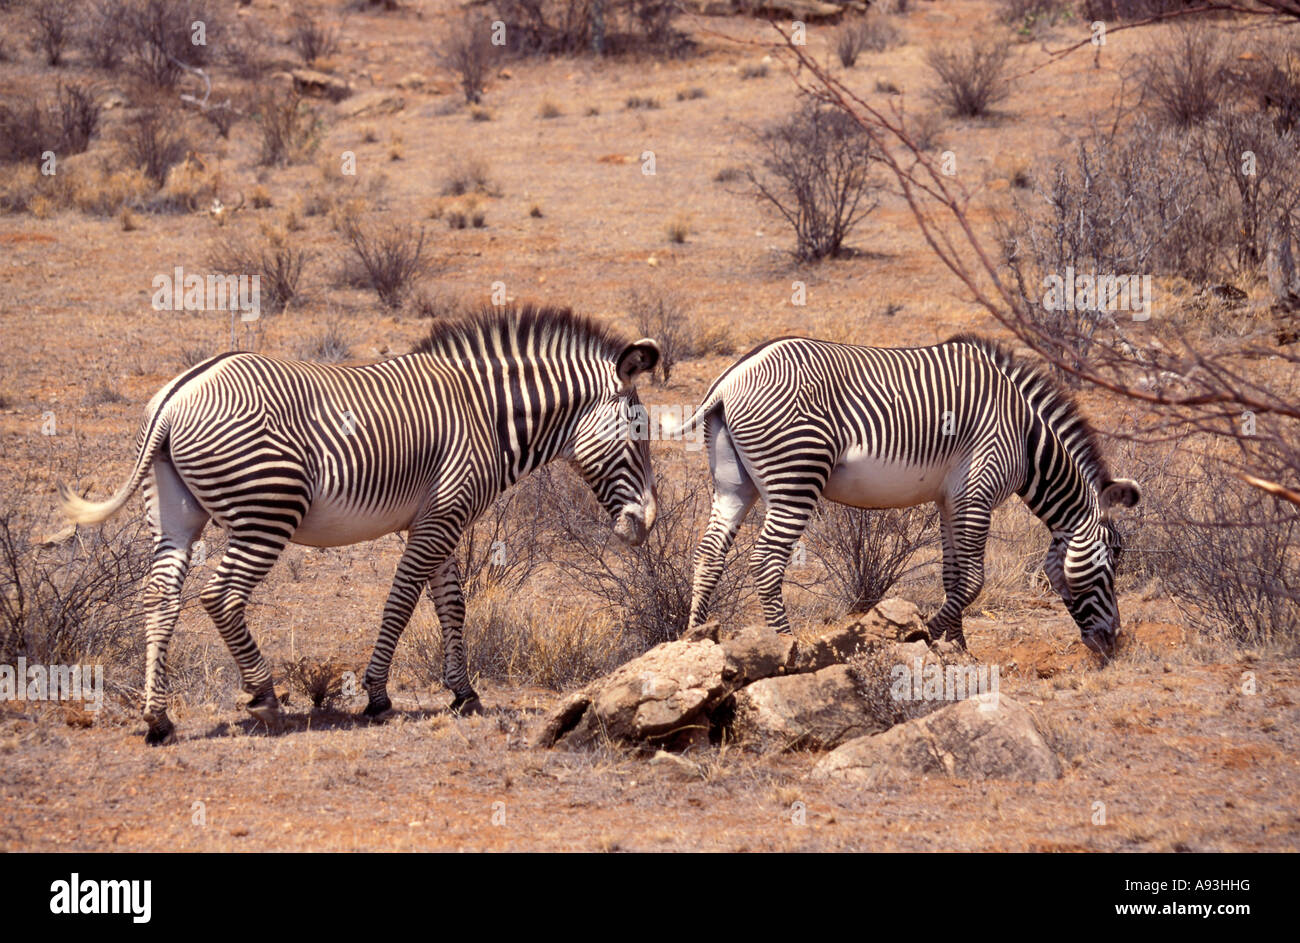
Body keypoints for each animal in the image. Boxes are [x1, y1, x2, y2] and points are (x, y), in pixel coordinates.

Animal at [59, 305, 661, 744]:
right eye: (640, 435)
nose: (647, 524)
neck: (484, 414)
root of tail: (177, 393)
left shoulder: (438, 516)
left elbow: (450, 602)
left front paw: (463, 693)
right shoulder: (441, 516)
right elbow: (403, 599)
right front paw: (377, 695)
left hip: (176, 515)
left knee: (159, 594)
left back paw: (158, 720)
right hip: (267, 510)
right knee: (221, 595)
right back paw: (266, 699)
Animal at [672, 334, 1141, 657]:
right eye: (1113, 559)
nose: (1114, 641)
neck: (1025, 436)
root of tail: (730, 381)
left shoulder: (951, 499)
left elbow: (953, 576)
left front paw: (959, 650)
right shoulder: (978, 491)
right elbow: (973, 580)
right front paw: (925, 637)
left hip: (735, 484)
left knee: (709, 553)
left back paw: (695, 642)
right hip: (796, 476)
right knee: (766, 561)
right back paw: (789, 647)